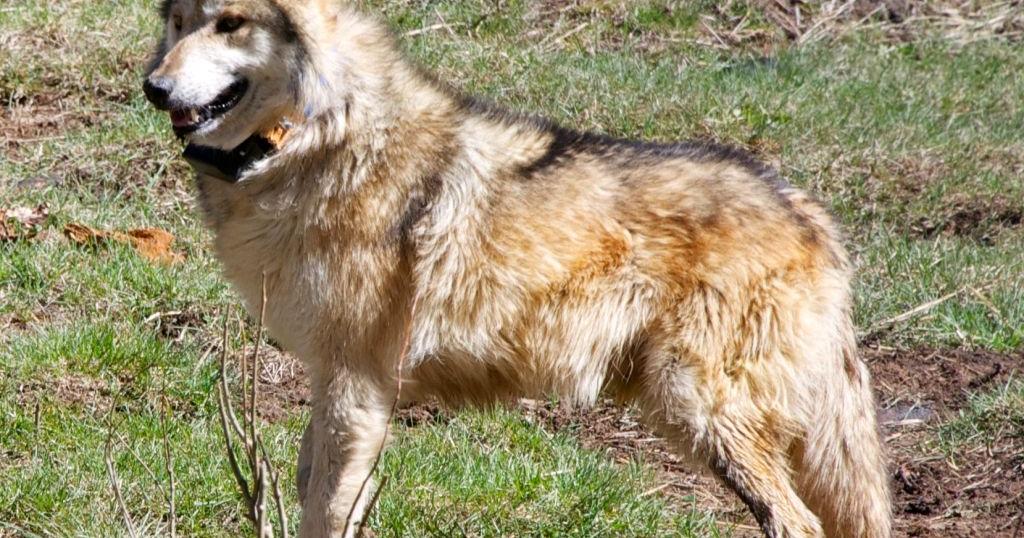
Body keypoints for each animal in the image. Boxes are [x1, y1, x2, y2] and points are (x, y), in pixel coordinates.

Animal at [144, 1, 892, 536]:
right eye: (180, 21)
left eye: (230, 22)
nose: (154, 87)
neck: (316, 138)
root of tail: (811, 212)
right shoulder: (335, 380)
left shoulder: (358, 384)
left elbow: (327, 512)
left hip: (698, 409)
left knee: (798, 523)